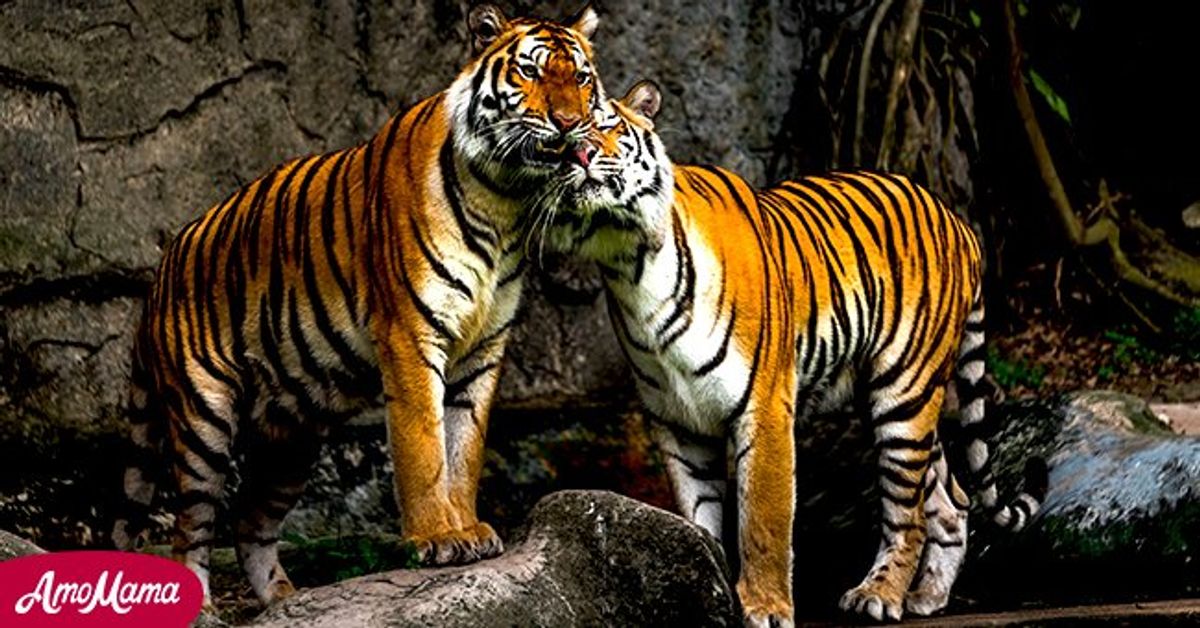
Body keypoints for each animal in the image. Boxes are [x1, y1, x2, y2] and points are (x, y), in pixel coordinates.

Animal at [109, 4, 606, 606]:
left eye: (581, 78)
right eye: (531, 72)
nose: (569, 122)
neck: (505, 197)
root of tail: (161, 270)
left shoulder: (483, 349)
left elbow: (464, 449)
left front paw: (468, 529)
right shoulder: (411, 335)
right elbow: (424, 446)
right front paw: (439, 538)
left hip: (292, 437)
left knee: (251, 521)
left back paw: (285, 599)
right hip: (204, 420)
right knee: (192, 527)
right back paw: (205, 604)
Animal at [533, 81, 1042, 625]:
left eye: (606, 125)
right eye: (561, 140)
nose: (580, 154)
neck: (629, 262)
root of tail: (958, 222)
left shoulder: (765, 409)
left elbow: (762, 519)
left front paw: (765, 607)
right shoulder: (678, 424)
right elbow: (700, 517)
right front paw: (705, 587)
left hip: (904, 394)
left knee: (907, 513)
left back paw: (879, 596)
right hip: (894, 400)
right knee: (953, 499)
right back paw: (927, 596)